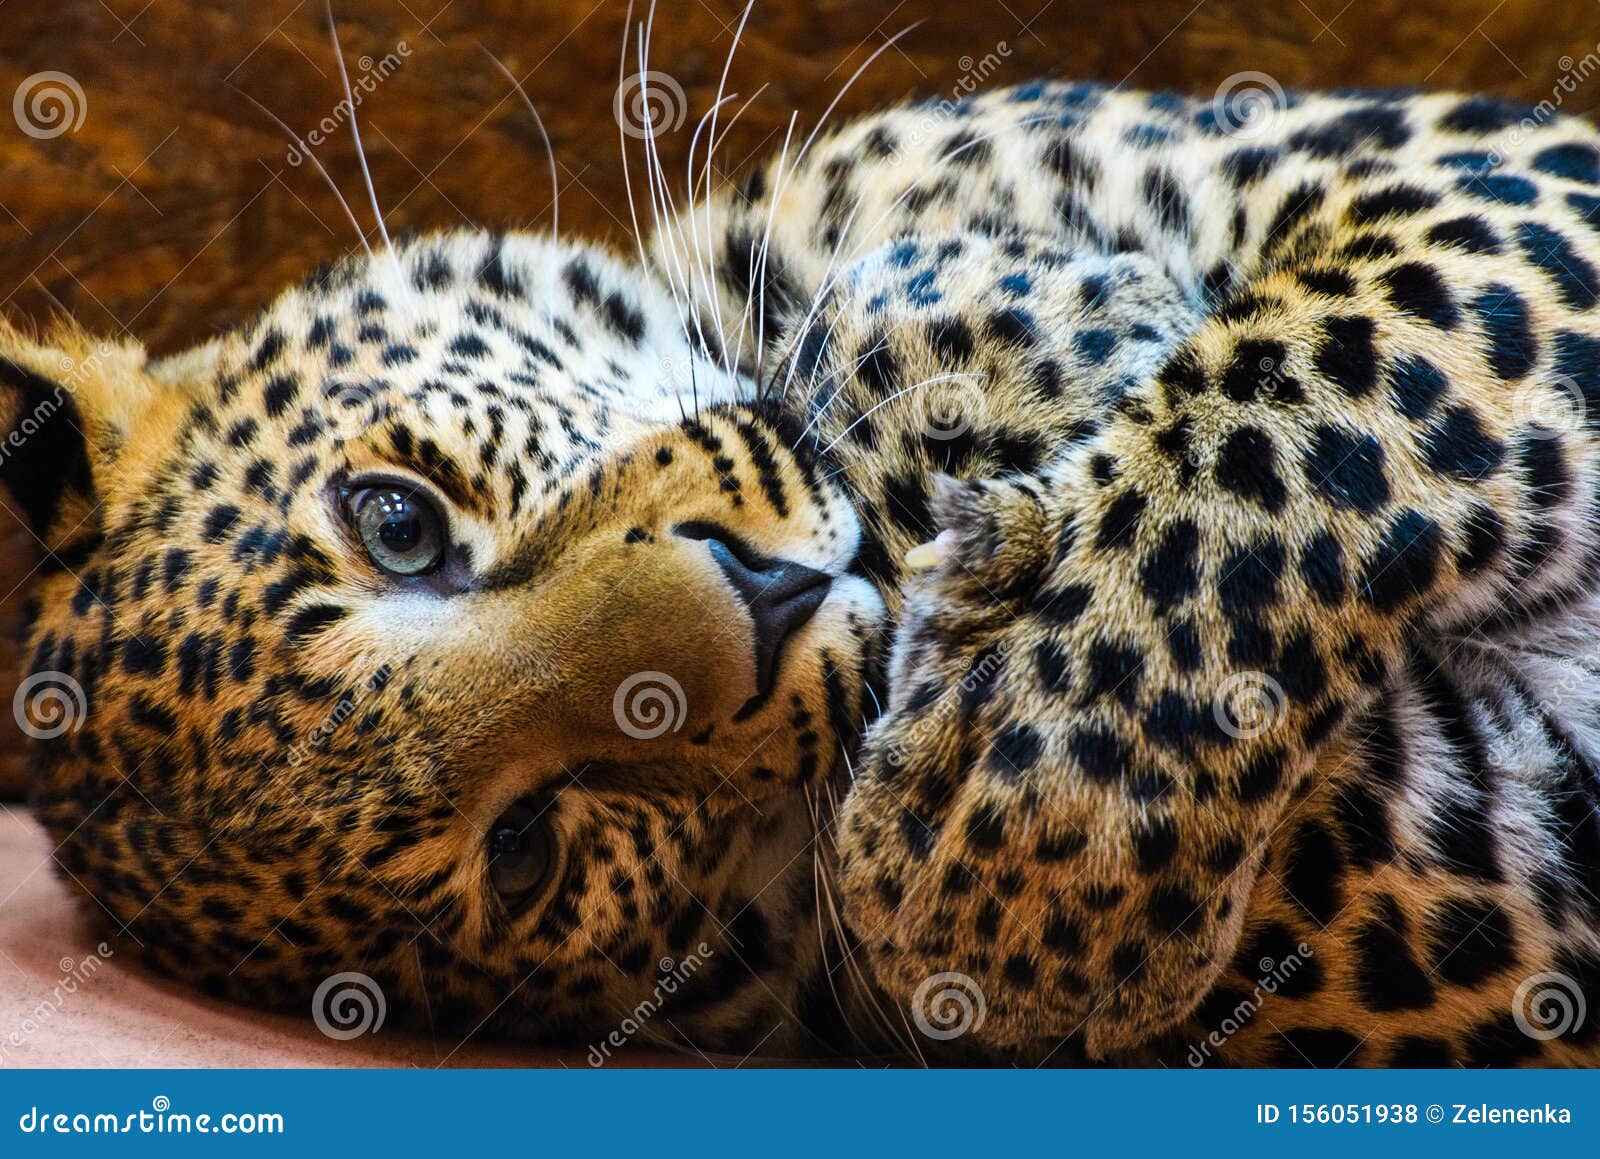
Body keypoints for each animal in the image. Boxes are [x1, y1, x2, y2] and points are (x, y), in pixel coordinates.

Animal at [5, 79, 1600, 1066]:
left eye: (395, 520)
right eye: (526, 851)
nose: (765, 603)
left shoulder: (1474, 175)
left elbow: (1340, 356)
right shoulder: (1468, 884)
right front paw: (1002, 842)